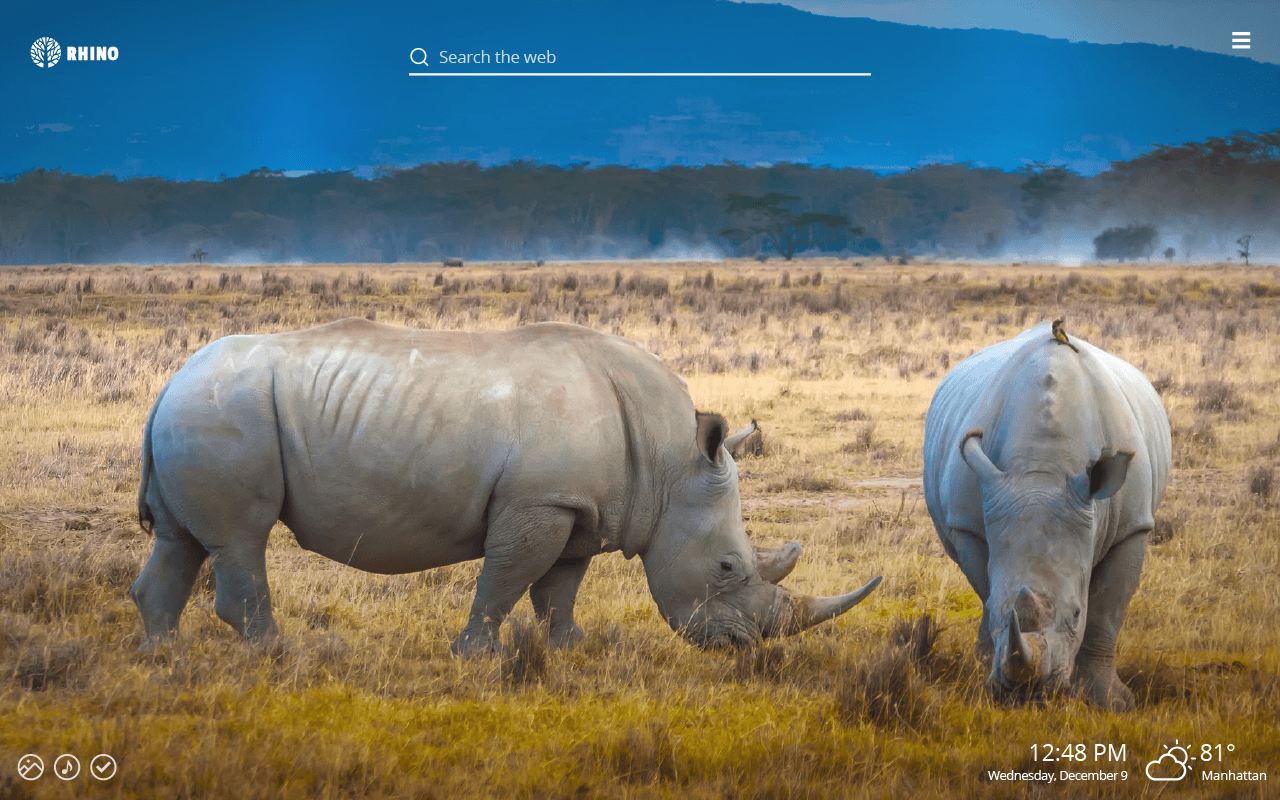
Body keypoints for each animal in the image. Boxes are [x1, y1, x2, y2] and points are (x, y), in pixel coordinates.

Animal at [132, 318, 880, 654]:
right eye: (726, 567)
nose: (743, 647)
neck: (671, 463)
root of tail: (168, 381)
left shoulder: (584, 506)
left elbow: (559, 587)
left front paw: (571, 649)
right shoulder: (540, 501)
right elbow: (509, 576)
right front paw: (479, 654)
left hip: (197, 414)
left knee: (181, 540)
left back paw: (161, 654)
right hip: (224, 414)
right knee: (241, 538)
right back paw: (276, 652)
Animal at [923, 322, 1170, 709]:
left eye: (1076, 613)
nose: (1027, 694)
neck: (1043, 469)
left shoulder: (1133, 526)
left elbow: (1106, 613)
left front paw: (1111, 702)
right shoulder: (968, 525)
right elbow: (985, 589)